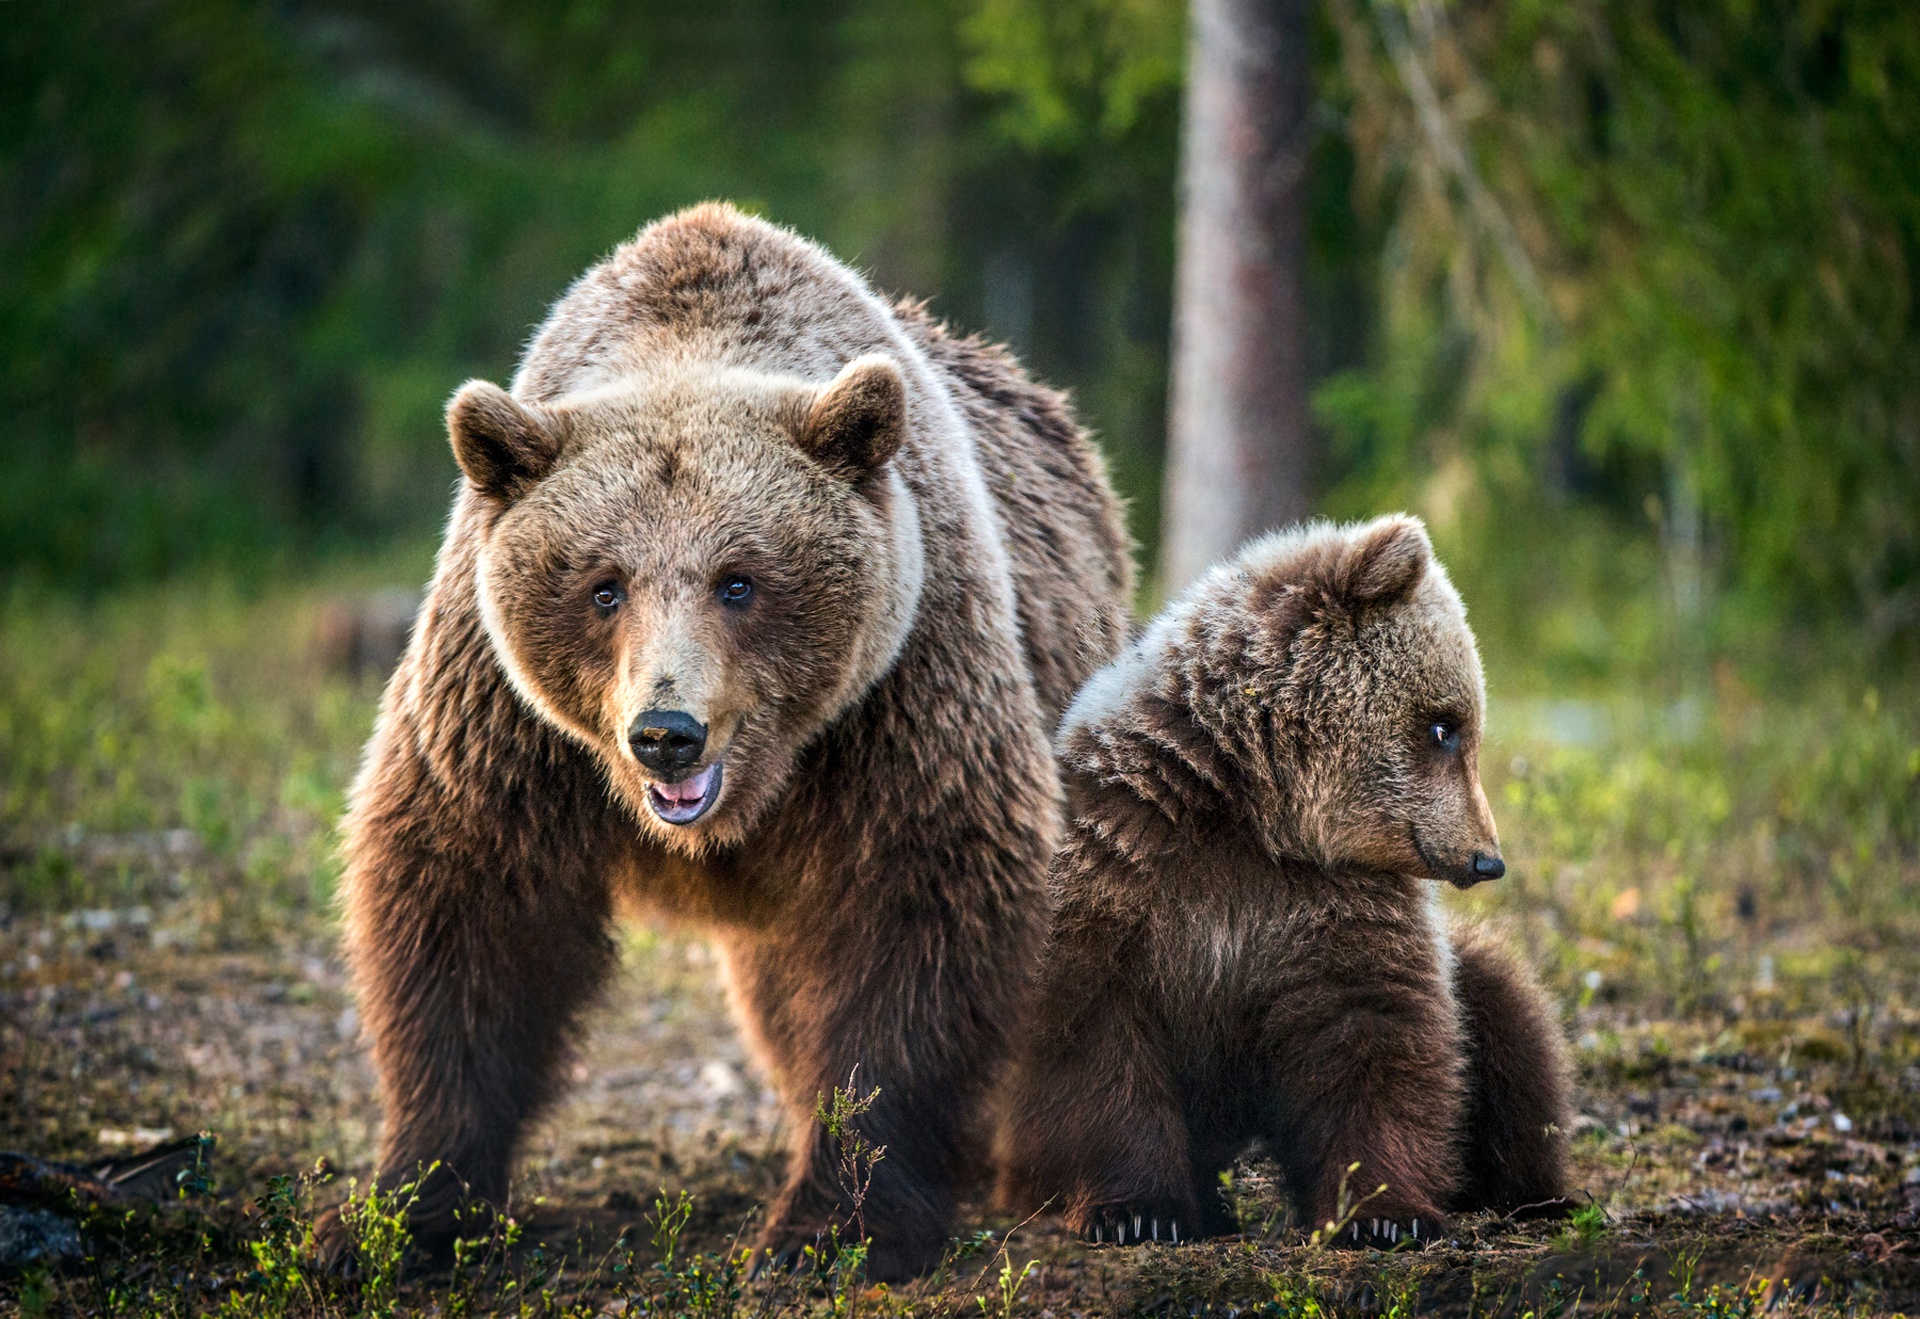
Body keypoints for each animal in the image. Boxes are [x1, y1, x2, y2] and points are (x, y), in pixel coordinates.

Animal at [326, 203, 1135, 1279]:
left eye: (739, 579)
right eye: (604, 583)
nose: (666, 732)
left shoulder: (903, 694)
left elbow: (919, 914)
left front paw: (834, 1220)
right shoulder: (505, 720)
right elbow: (465, 910)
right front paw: (397, 1210)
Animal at [995, 515, 1569, 1250]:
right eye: (1445, 726)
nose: (1485, 858)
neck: (1251, 808)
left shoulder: (1336, 901)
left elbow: (1376, 1033)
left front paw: (1383, 1214)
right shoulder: (1121, 857)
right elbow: (1091, 1032)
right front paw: (1137, 1211)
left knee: (1505, 1012)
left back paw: (1534, 1194)